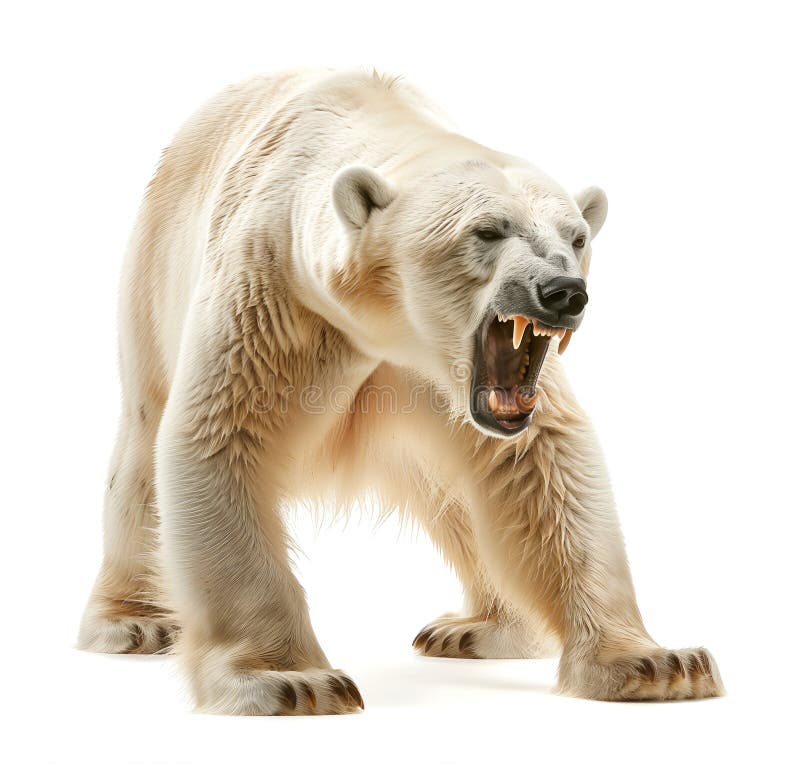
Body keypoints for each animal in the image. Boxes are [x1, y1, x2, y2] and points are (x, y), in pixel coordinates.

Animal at [77, 68, 723, 713]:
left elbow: (541, 462)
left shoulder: (450, 379)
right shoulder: (276, 293)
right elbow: (222, 436)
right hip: (152, 270)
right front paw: (290, 681)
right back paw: (134, 622)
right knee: (140, 451)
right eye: (488, 230)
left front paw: (656, 661)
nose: (564, 291)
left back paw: (481, 629)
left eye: (579, 236)